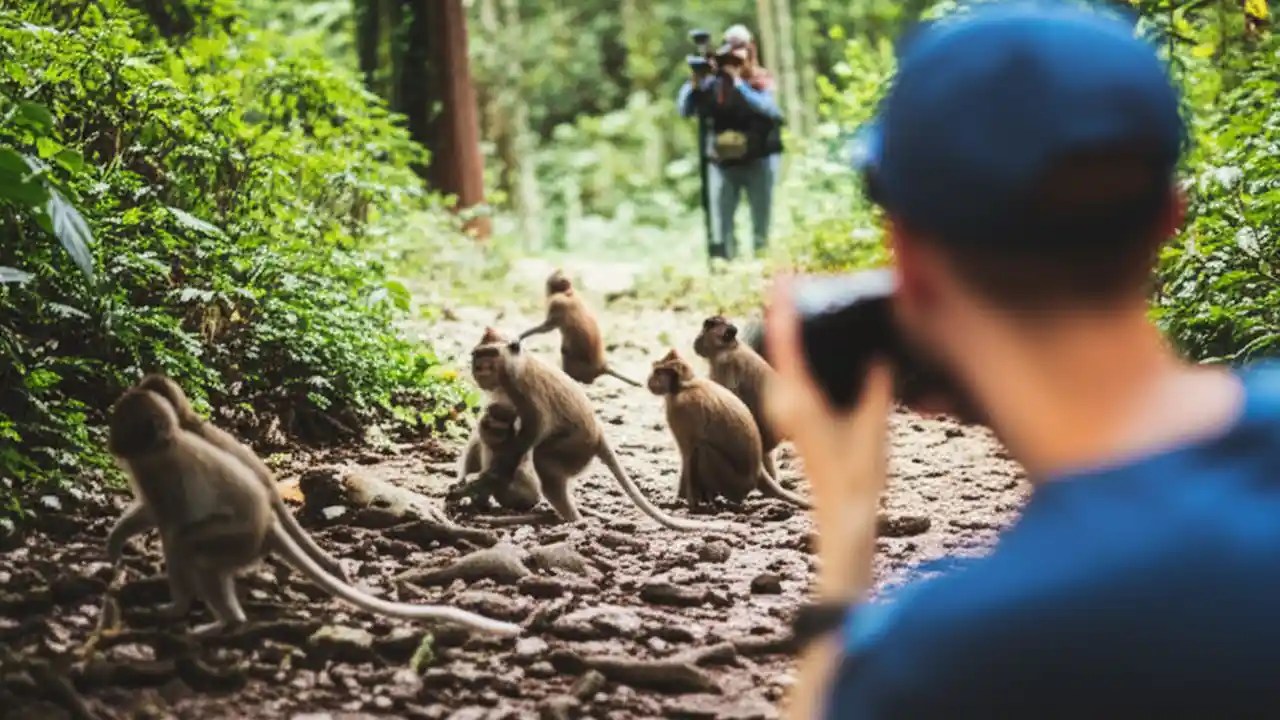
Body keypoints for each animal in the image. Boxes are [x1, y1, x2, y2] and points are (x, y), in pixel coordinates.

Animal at [469, 327, 729, 531]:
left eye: (490, 353)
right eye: (477, 353)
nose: (479, 366)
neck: (513, 365)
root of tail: (598, 433)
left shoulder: (519, 386)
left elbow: (534, 426)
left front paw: (494, 473)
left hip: (574, 447)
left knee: (545, 460)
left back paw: (572, 518)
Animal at [648, 349, 811, 510]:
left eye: (658, 372)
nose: (650, 380)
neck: (685, 385)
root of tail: (757, 472)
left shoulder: (680, 410)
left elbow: (687, 454)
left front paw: (686, 501)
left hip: (732, 483)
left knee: (702, 448)